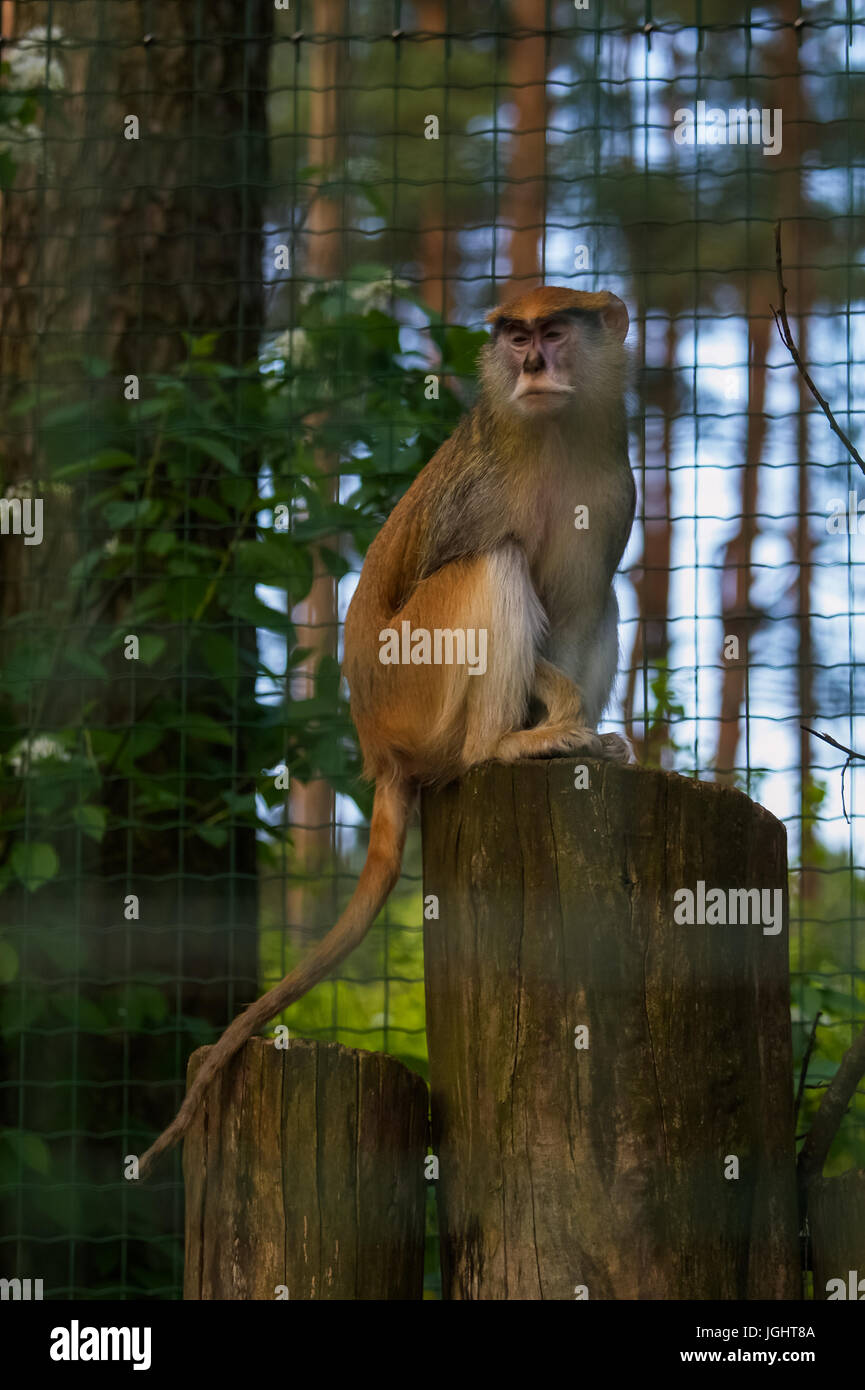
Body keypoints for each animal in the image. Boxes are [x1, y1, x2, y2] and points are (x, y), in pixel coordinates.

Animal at [137, 285, 635, 1176]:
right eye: (513, 337)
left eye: (551, 331)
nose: (531, 365)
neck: (548, 436)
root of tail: (377, 748)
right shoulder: (479, 491)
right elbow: (498, 574)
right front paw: (562, 718)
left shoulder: (611, 492)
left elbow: (582, 603)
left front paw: (590, 727)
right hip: (414, 689)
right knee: (490, 565)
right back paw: (504, 745)